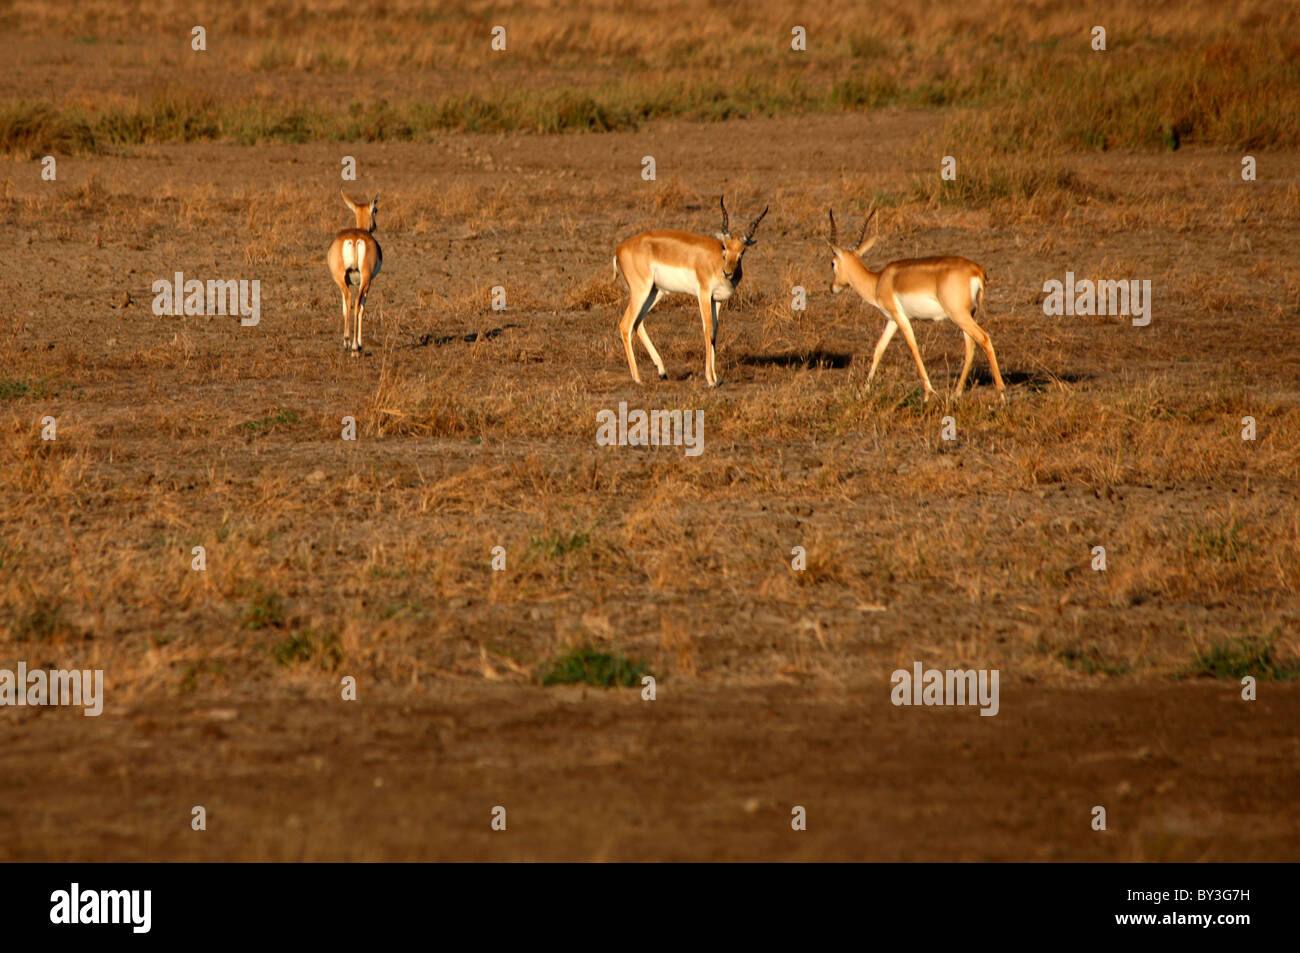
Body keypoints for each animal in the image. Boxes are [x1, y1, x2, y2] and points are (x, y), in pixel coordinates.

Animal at [327, 190, 382, 356]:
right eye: (375, 210)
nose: (375, 226)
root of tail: (355, 238)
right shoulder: (367, 283)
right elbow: (362, 309)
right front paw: (358, 344)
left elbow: (345, 308)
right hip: (365, 279)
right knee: (357, 304)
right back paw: (355, 347)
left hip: (340, 279)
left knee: (349, 300)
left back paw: (346, 341)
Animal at [614, 196, 768, 387]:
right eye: (724, 247)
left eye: (742, 251)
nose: (727, 273)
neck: (717, 261)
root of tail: (620, 248)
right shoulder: (703, 294)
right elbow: (707, 329)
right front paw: (710, 380)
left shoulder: (716, 300)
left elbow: (714, 332)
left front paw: (716, 377)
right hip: (641, 291)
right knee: (626, 324)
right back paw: (638, 379)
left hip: (655, 292)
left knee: (637, 322)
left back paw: (662, 371)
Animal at [828, 206, 1005, 401]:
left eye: (832, 263)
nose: (832, 287)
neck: (879, 281)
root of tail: (978, 271)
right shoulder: (892, 319)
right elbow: (879, 348)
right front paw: (863, 391)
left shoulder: (901, 317)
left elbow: (913, 348)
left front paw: (928, 392)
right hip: (968, 315)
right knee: (971, 346)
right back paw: (956, 393)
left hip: (959, 315)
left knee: (984, 338)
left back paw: (1001, 394)